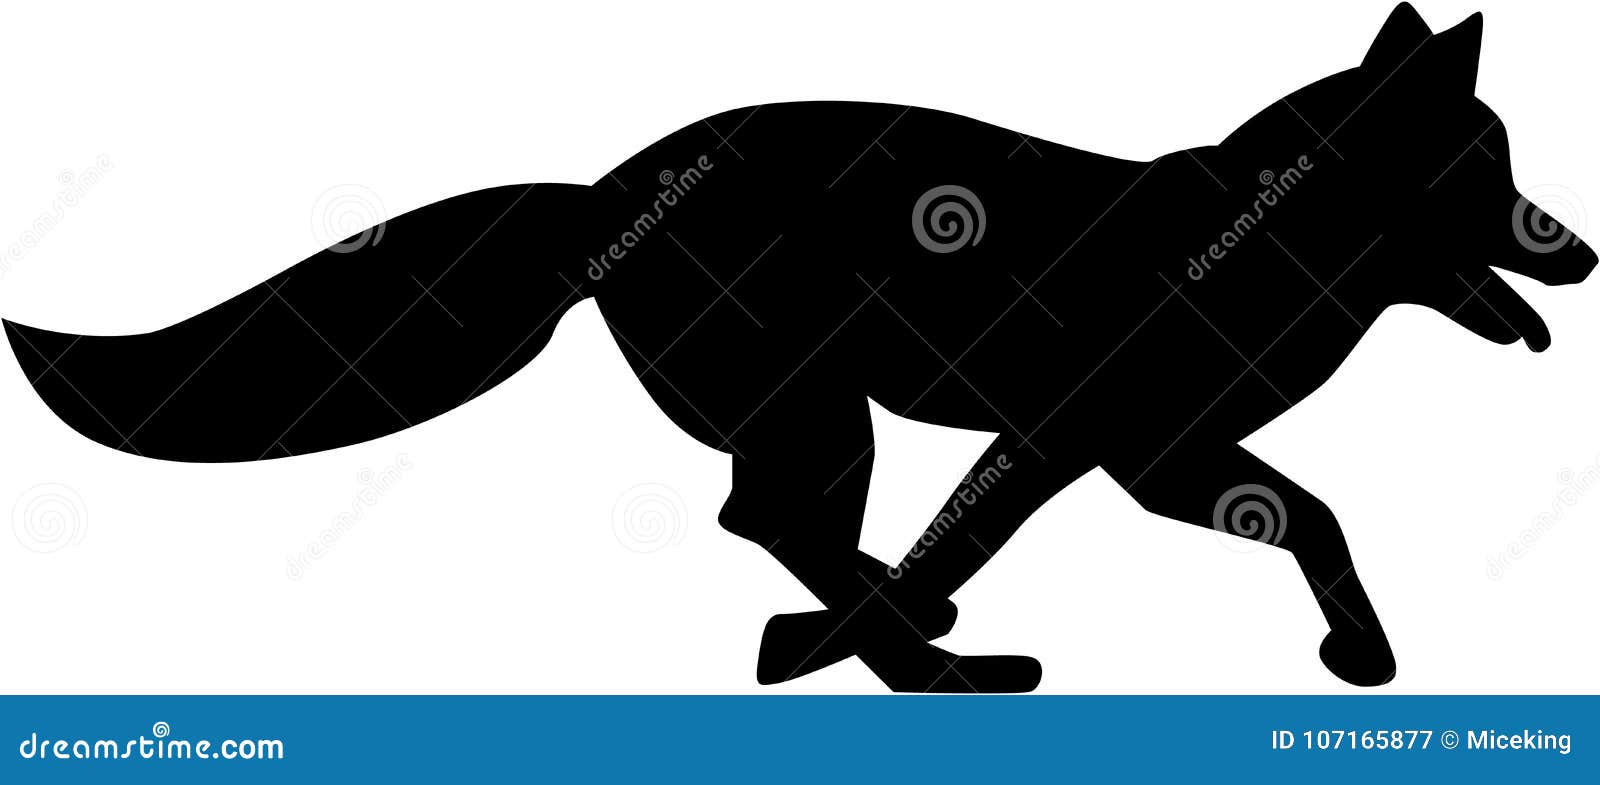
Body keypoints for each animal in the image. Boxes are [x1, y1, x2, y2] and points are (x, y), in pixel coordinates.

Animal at [4, 4, 1592, 692]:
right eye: (1485, 167)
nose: (1577, 251)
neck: (1263, 237)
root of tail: (608, 193)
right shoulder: (1111, 444)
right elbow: (1296, 513)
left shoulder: (1117, 451)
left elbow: (1290, 515)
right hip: (824, 408)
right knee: (766, 514)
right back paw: (928, 665)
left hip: (825, 414)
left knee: (782, 523)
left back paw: (900, 640)